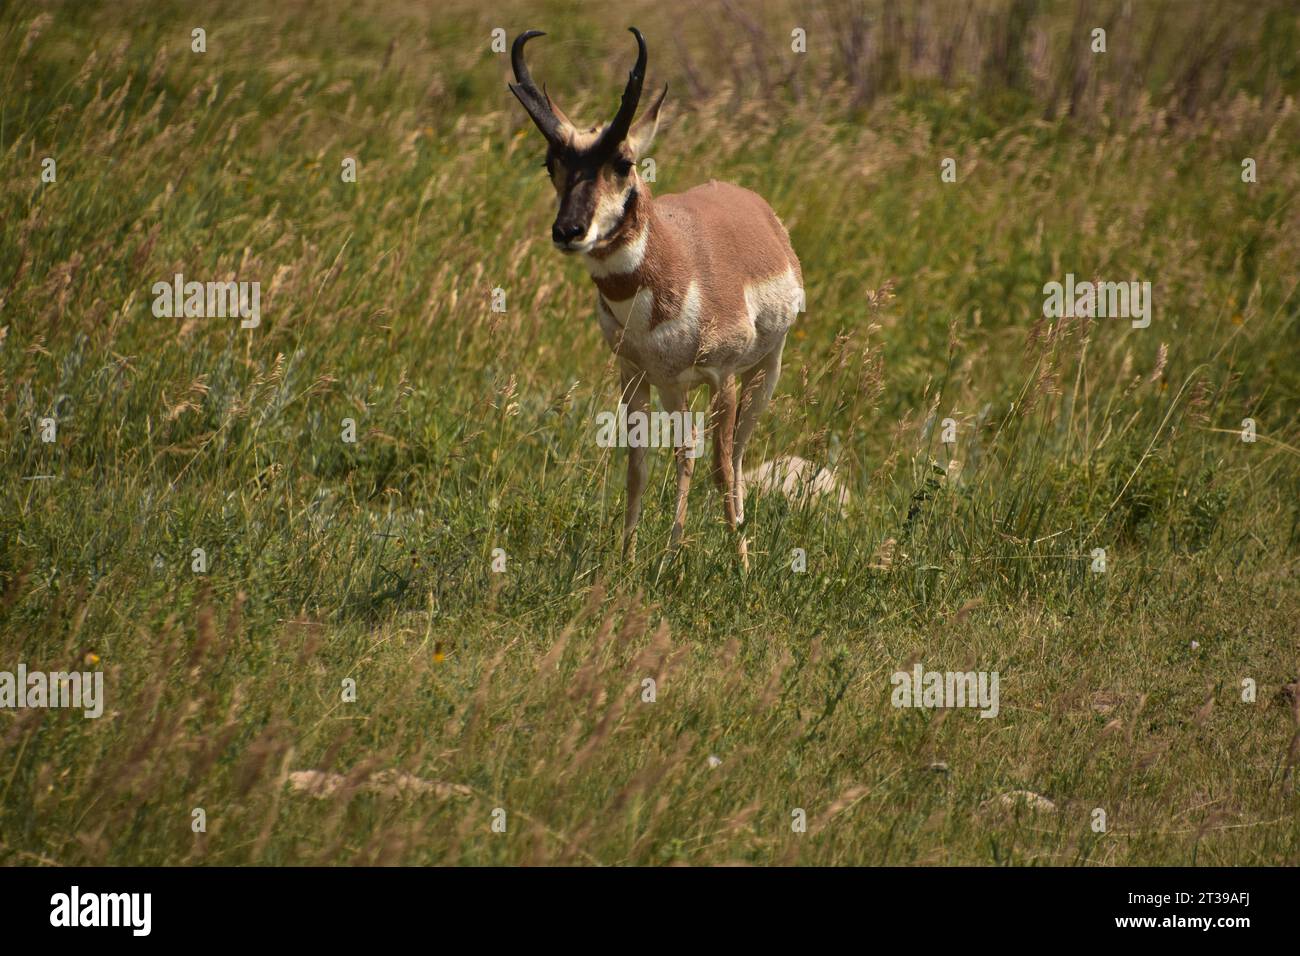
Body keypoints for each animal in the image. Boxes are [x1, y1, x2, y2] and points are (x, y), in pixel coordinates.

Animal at [509, 27, 803, 567]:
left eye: (623, 163)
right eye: (551, 163)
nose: (568, 231)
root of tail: (751, 203)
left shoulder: (722, 378)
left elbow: (720, 467)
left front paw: (737, 564)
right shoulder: (634, 375)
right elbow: (638, 466)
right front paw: (628, 558)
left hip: (763, 371)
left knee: (736, 455)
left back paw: (733, 543)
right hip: (675, 388)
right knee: (688, 452)